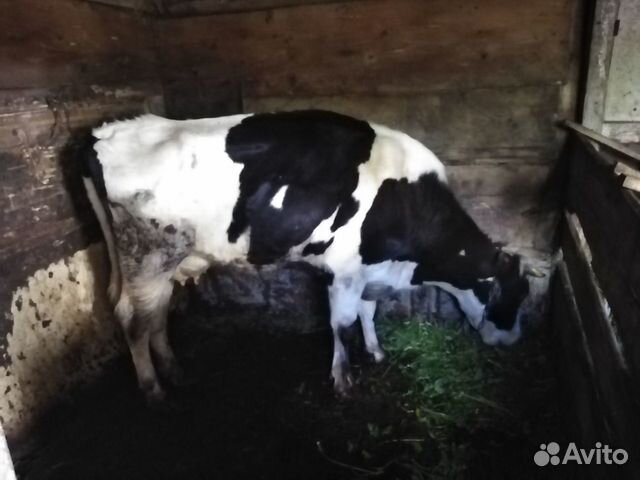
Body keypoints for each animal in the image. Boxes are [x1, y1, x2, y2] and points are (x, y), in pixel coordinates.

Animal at [81, 110, 543, 402]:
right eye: (515, 296)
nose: (514, 341)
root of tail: (106, 132)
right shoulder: (344, 271)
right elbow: (341, 324)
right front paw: (342, 380)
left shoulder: (368, 269)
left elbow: (368, 313)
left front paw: (375, 353)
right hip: (147, 255)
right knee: (133, 318)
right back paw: (152, 387)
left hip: (162, 261)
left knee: (155, 312)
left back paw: (175, 370)